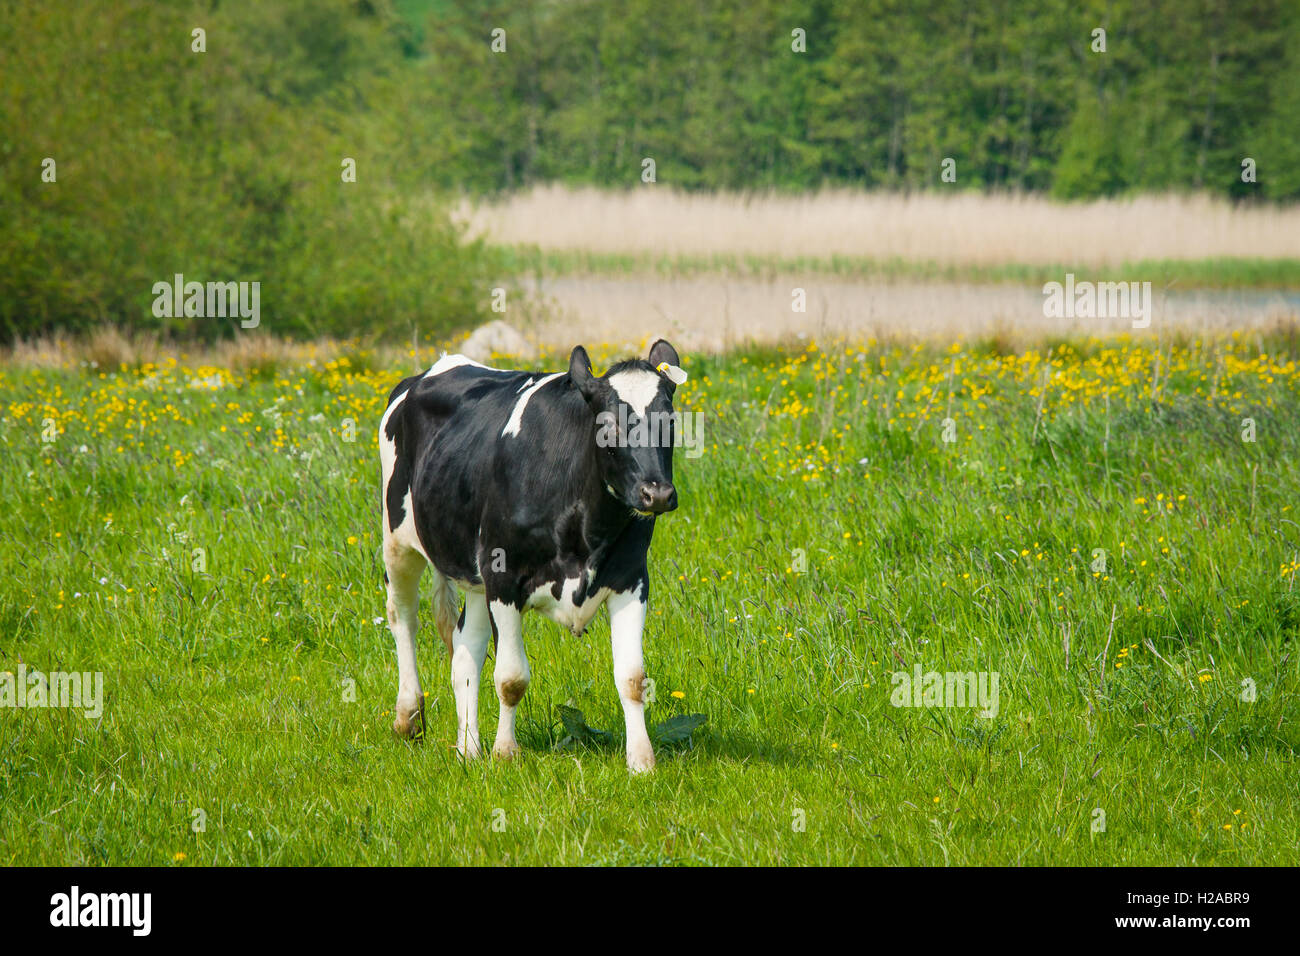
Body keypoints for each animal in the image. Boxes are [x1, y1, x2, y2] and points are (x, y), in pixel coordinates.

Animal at [378, 339, 685, 773]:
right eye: (608, 424)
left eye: (670, 422)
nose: (656, 494)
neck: (585, 530)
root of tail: (438, 366)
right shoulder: (504, 579)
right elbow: (511, 678)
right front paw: (506, 752)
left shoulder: (631, 580)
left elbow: (632, 677)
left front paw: (641, 761)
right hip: (398, 541)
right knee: (403, 617)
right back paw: (409, 716)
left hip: (476, 576)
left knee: (465, 650)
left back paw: (468, 749)